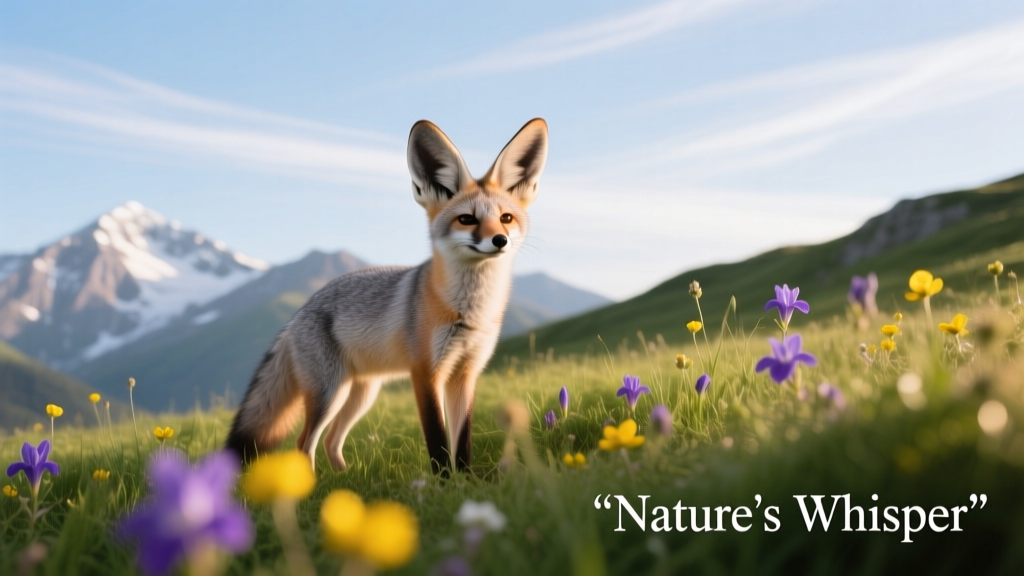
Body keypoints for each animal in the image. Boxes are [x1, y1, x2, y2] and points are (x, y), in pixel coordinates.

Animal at [226, 118, 548, 475]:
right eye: (467, 219)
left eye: (506, 218)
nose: (500, 240)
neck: (468, 311)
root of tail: (297, 314)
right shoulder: (425, 373)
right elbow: (437, 442)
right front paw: (444, 482)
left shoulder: (465, 374)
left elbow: (462, 442)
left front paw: (466, 479)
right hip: (329, 393)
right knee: (304, 443)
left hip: (361, 394)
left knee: (330, 441)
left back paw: (346, 480)